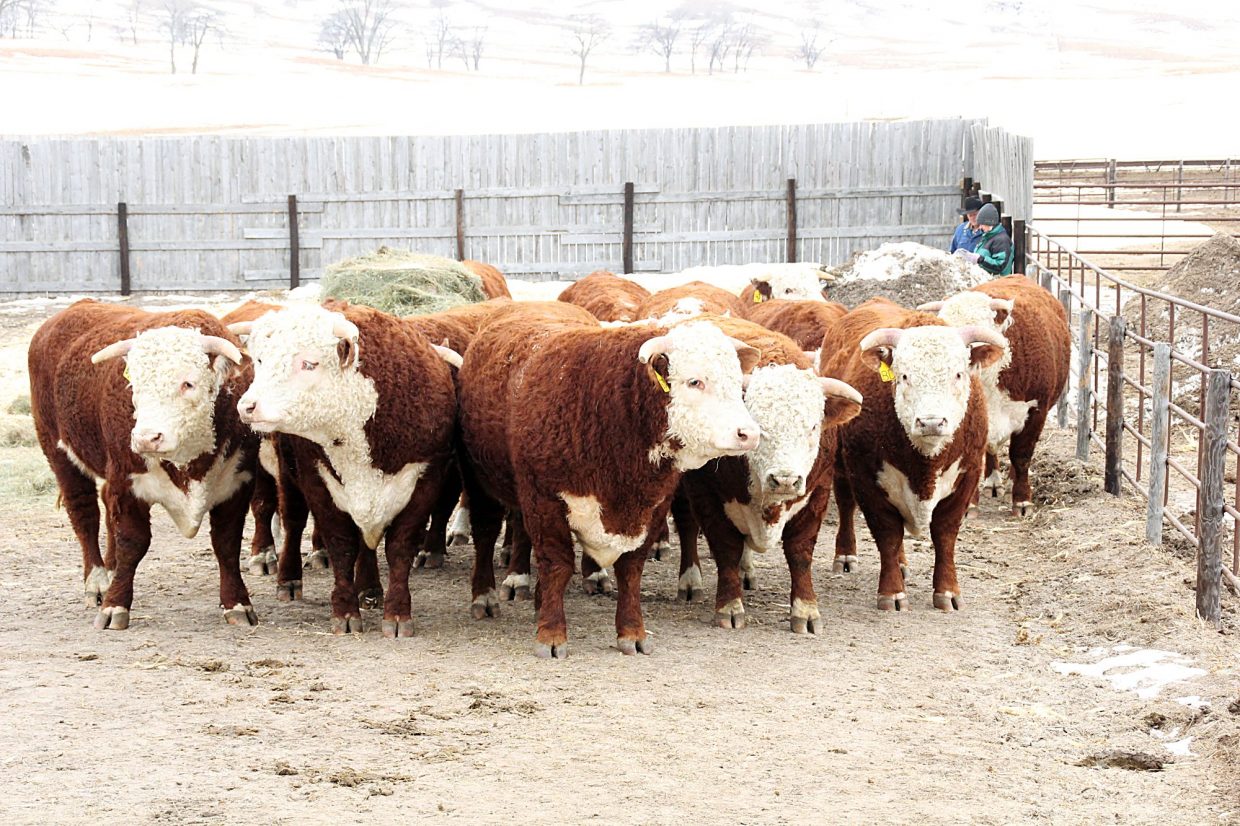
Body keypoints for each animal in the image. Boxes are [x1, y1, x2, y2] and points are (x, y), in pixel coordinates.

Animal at [28, 300, 258, 630]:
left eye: (188, 383)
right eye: (134, 385)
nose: (146, 438)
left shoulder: (237, 481)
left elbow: (227, 543)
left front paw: (237, 603)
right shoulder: (127, 482)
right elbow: (133, 542)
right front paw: (115, 606)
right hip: (57, 449)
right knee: (84, 513)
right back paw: (97, 582)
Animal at [236, 302, 459, 637]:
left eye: (309, 364)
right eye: (261, 359)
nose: (247, 406)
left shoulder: (424, 480)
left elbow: (399, 547)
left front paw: (397, 613)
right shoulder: (319, 482)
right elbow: (341, 546)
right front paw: (345, 612)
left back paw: (369, 588)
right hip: (288, 473)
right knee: (293, 521)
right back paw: (289, 579)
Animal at [458, 304, 761, 658]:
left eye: (737, 383)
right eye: (695, 381)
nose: (748, 433)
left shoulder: (653, 504)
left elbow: (630, 569)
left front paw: (632, 632)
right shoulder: (544, 500)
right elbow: (557, 563)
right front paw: (551, 635)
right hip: (482, 481)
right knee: (487, 532)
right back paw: (487, 595)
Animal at [670, 316, 862, 632]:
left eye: (813, 426)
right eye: (757, 427)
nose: (785, 479)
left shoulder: (817, 494)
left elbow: (800, 553)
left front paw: (806, 610)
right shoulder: (707, 496)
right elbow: (725, 549)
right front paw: (729, 606)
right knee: (686, 525)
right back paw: (689, 581)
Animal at [820, 299, 1006, 612]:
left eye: (958, 374)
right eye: (904, 376)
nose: (931, 422)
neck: (926, 463)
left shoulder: (967, 475)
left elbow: (944, 534)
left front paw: (948, 592)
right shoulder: (866, 477)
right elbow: (887, 533)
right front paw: (892, 593)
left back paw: (903, 563)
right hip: (841, 465)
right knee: (846, 504)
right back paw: (846, 556)